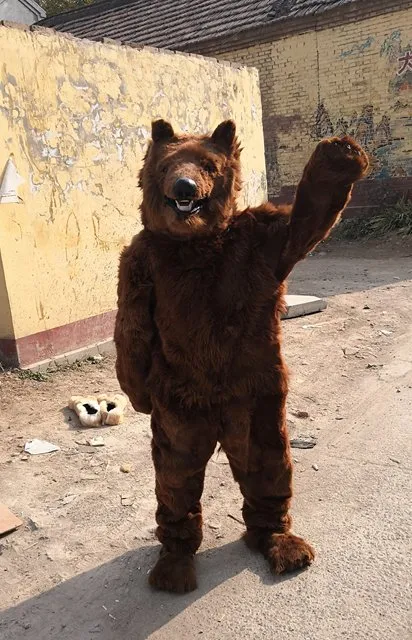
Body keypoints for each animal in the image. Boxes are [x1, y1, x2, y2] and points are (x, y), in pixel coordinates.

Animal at [114, 119, 369, 594]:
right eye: (167, 166)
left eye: (208, 165)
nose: (184, 186)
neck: (196, 241)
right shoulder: (138, 263)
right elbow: (130, 329)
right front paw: (137, 398)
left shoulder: (261, 240)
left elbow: (304, 222)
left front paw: (340, 152)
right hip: (181, 409)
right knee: (176, 477)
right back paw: (174, 566)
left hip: (257, 401)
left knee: (265, 466)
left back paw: (280, 544)